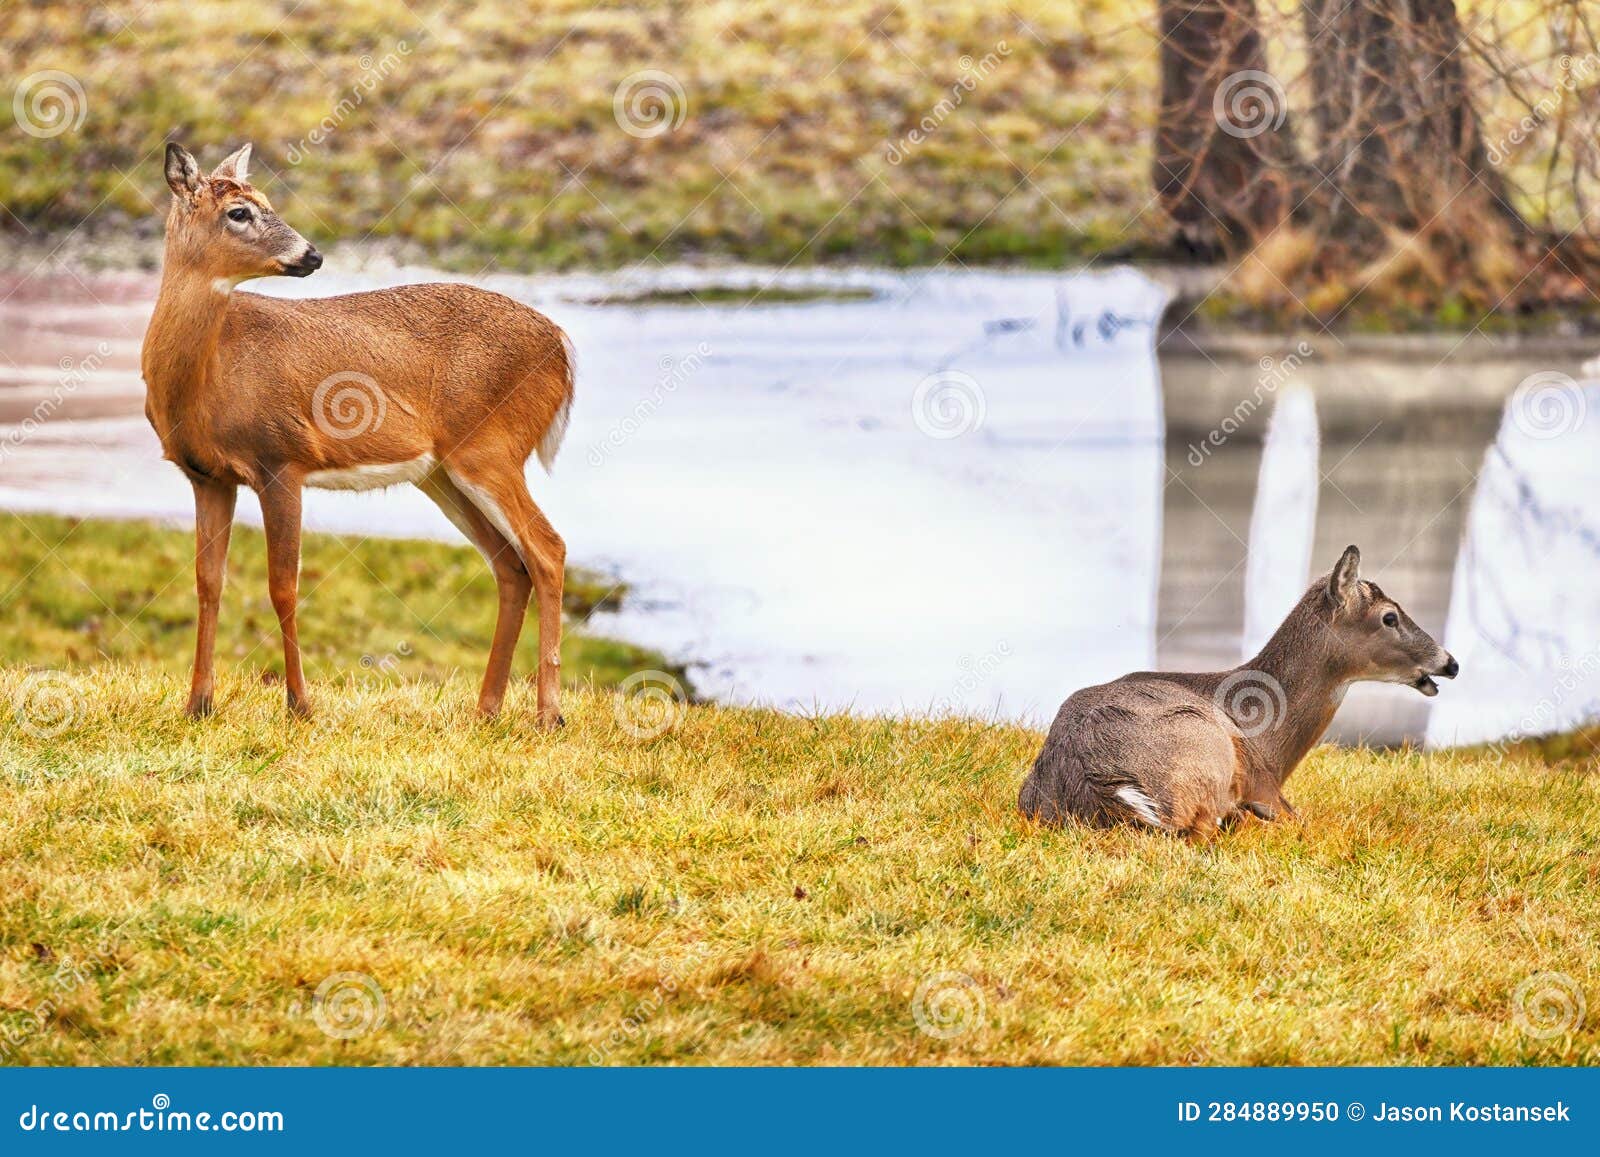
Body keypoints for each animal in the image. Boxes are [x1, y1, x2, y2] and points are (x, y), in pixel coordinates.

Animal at [141, 143, 575, 727]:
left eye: (266, 200)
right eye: (239, 212)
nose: (313, 255)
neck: (206, 379)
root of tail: (563, 345)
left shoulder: (282, 459)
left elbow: (283, 586)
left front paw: (300, 704)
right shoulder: (207, 476)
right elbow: (209, 583)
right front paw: (198, 705)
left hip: (490, 448)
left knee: (548, 549)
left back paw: (548, 714)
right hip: (442, 473)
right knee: (511, 564)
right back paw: (487, 709)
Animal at [1018, 546, 1458, 837]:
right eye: (1390, 617)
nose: (1450, 662)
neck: (1272, 745)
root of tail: (1098, 785)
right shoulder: (1266, 787)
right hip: (1204, 749)